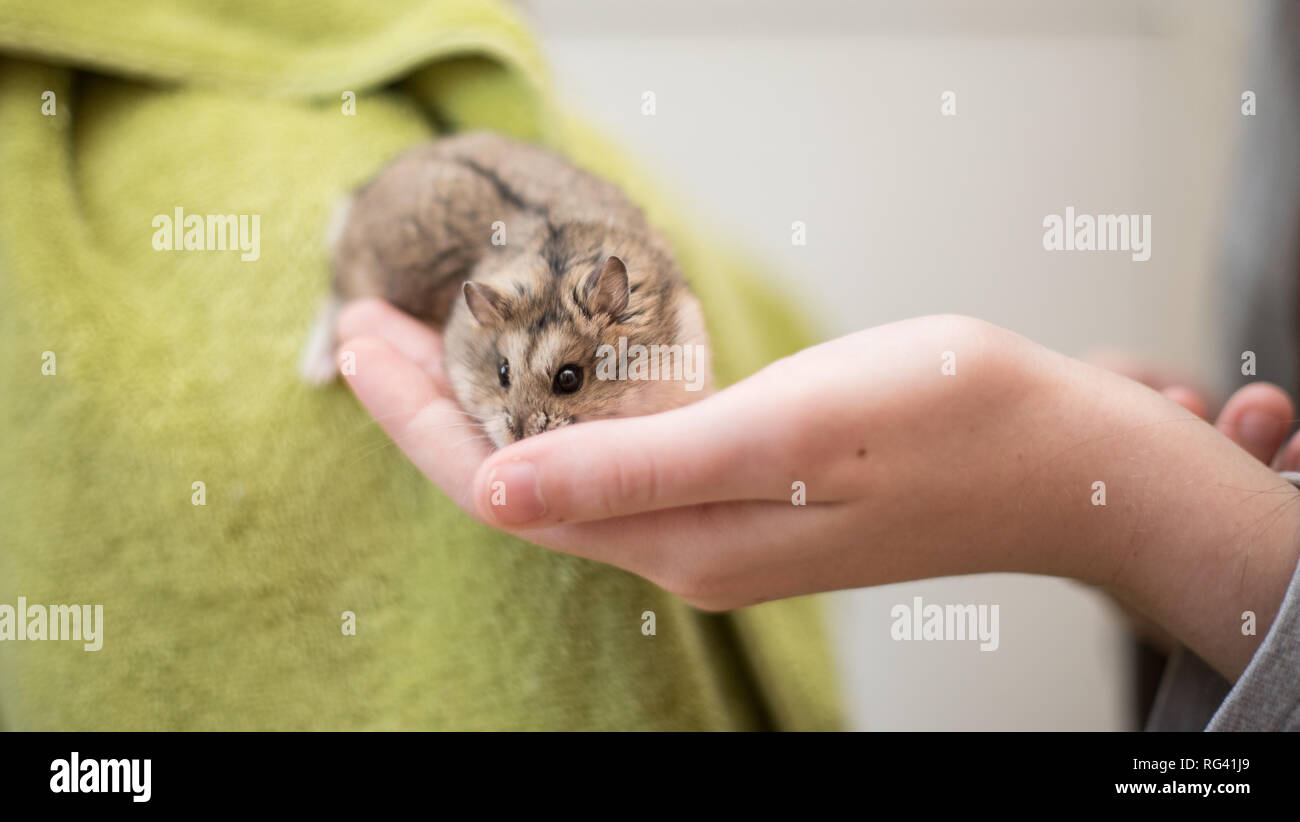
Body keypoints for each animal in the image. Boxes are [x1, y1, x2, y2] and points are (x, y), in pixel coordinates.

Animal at [301, 131, 712, 448]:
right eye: (502, 373)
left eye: (569, 379)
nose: (518, 435)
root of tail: (360, 199)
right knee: (335, 297)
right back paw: (315, 371)